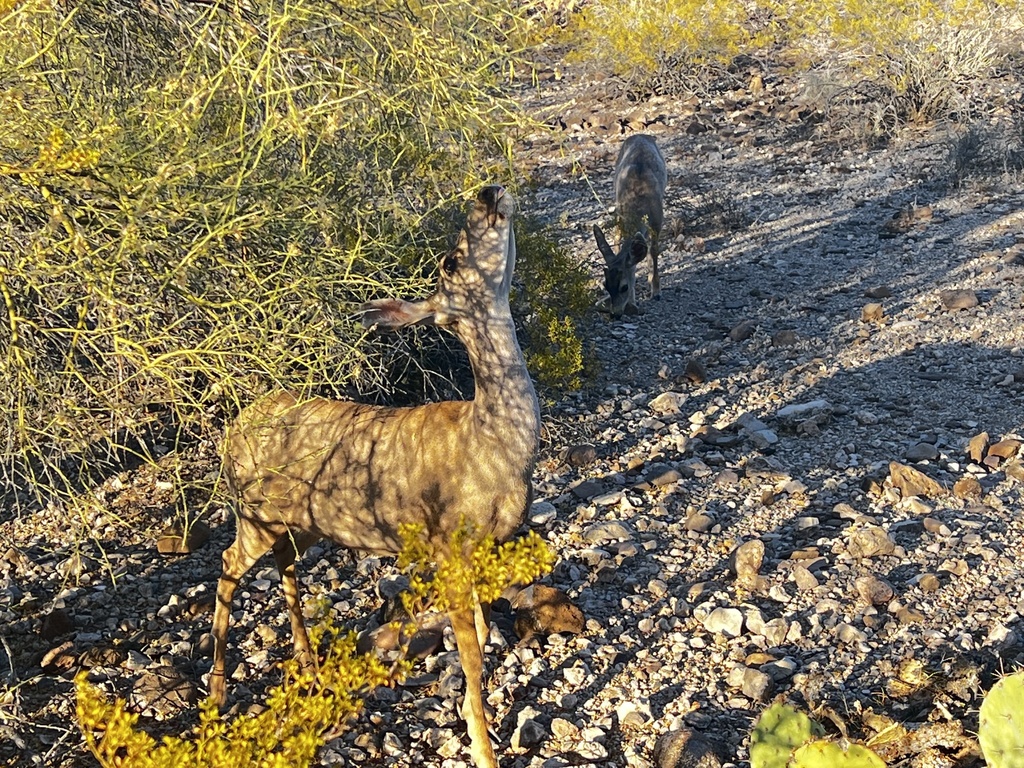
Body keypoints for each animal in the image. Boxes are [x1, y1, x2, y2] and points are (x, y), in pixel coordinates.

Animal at [209, 185, 539, 768]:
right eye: (450, 261)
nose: (487, 193)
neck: (493, 444)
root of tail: (235, 426)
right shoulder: (449, 546)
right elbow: (470, 660)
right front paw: (482, 748)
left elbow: (481, 626)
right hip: (253, 512)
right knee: (227, 565)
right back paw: (219, 691)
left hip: (303, 523)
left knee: (283, 563)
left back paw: (308, 659)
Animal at [593, 134, 667, 318]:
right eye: (606, 285)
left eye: (623, 287)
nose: (615, 314)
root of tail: (640, 135)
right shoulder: (620, 220)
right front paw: (633, 302)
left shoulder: (657, 220)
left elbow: (654, 251)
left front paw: (656, 291)